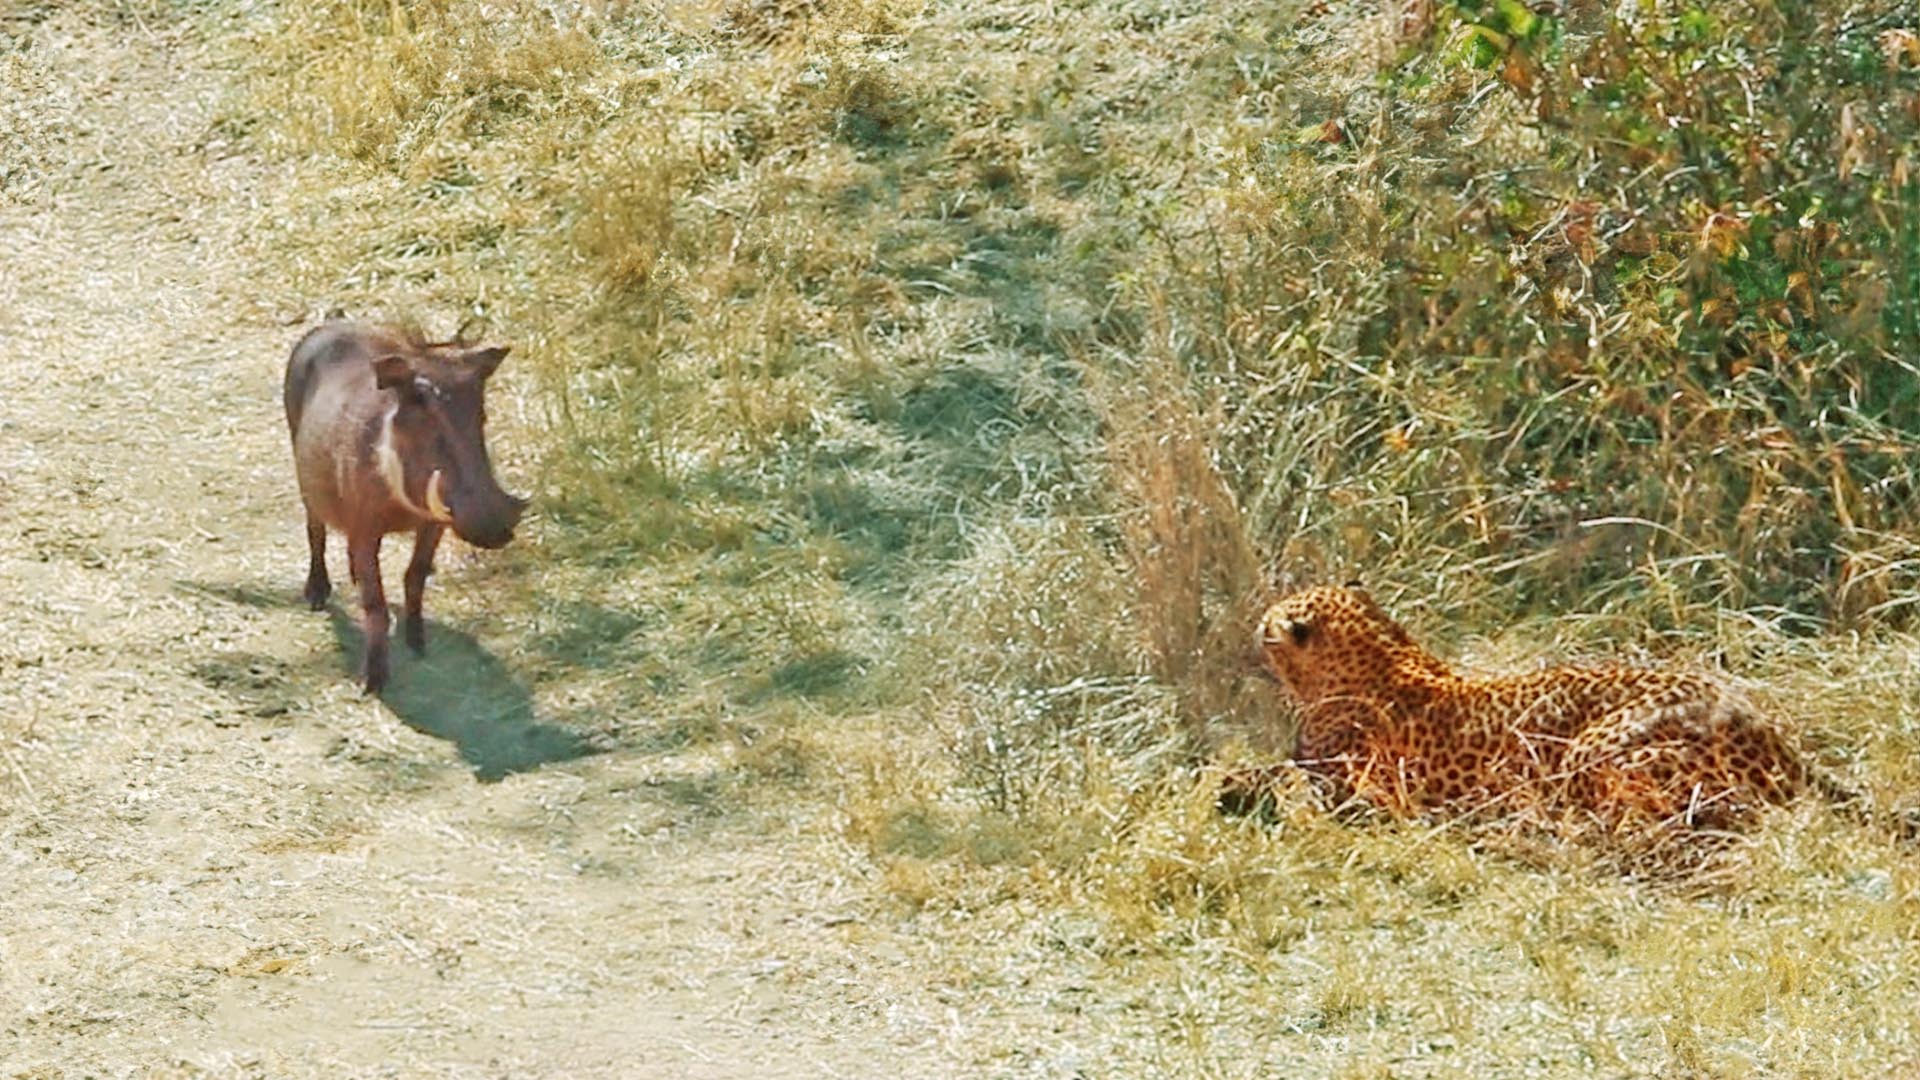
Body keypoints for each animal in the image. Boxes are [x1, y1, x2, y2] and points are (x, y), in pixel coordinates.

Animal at [1219, 583, 1867, 835]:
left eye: (1270, 622)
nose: (1251, 627)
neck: (1388, 653)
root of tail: (1764, 727)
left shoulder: (1347, 791)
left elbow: (1274, 777)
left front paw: (1229, 788)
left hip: (1594, 753)